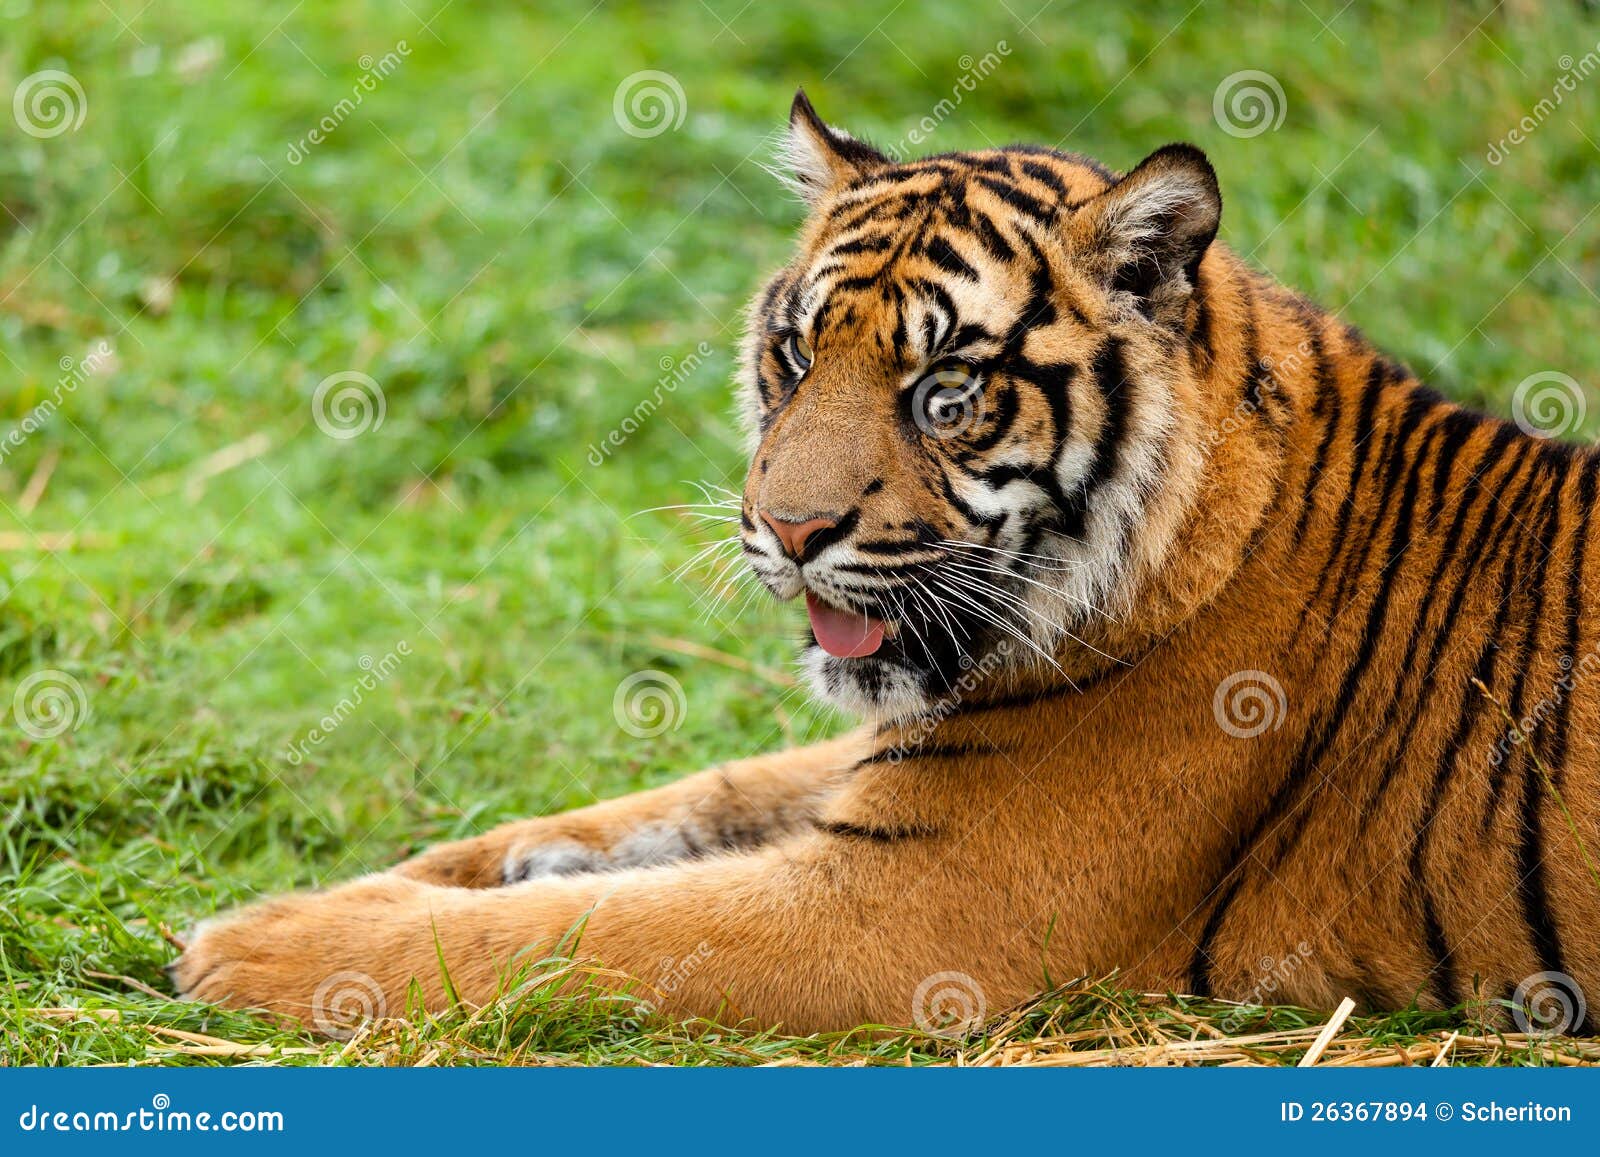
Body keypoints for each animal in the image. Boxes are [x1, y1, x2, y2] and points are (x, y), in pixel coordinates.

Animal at [172, 91, 1600, 1038]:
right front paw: (423, 868)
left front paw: (251, 941)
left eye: (945, 391)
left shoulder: (909, 904)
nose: (789, 529)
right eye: (799, 353)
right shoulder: (888, 773)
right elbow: (655, 807)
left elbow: (602, 929)